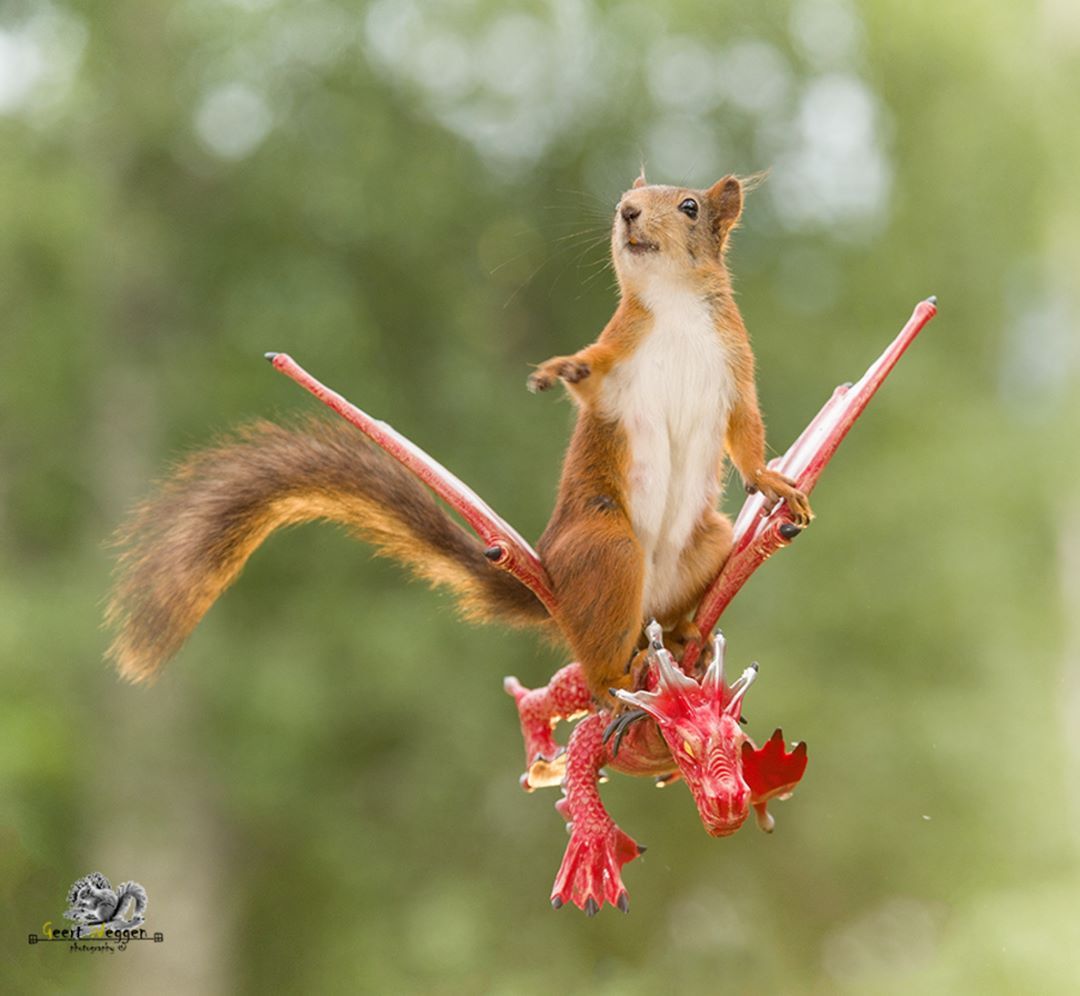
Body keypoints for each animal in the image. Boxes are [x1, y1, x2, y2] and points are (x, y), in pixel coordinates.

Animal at [106, 173, 810, 705]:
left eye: (689, 205)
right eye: (624, 198)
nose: (627, 211)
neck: (675, 309)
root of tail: (561, 588)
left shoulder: (734, 369)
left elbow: (746, 432)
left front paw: (771, 481)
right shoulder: (621, 360)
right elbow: (594, 382)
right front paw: (561, 370)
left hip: (705, 542)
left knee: (670, 608)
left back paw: (686, 633)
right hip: (606, 548)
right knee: (595, 650)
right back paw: (617, 677)